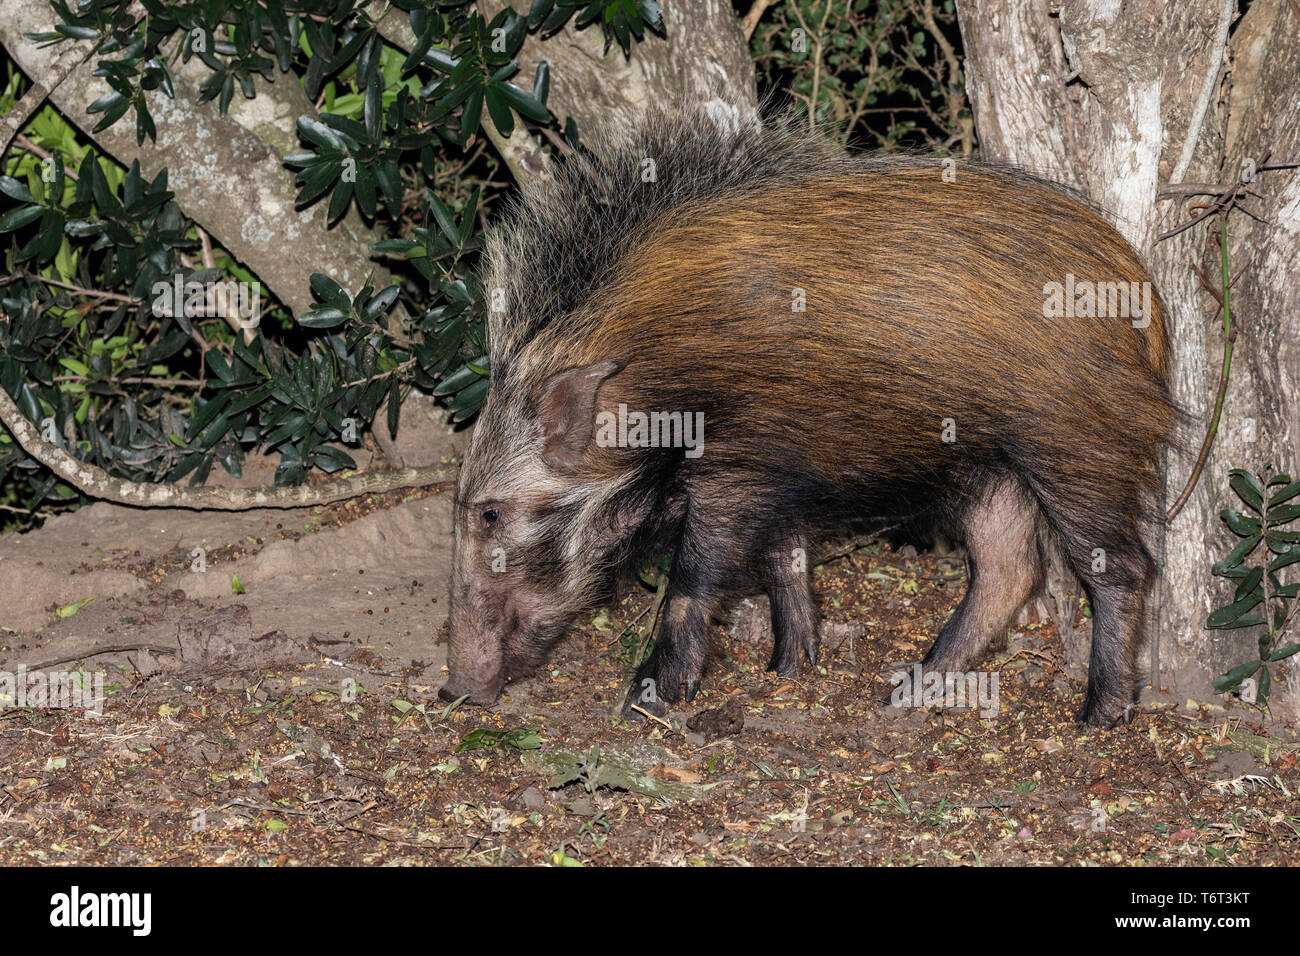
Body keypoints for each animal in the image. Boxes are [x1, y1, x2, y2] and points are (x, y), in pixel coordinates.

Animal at [440, 111, 1175, 728]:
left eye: (490, 513)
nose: (456, 690)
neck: (653, 381)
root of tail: (1148, 309)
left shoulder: (738, 468)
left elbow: (693, 579)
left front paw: (645, 703)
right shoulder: (778, 477)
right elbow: (783, 560)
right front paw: (787, 669)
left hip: (1076, 443)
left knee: (1120, 565)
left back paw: (1098, 716)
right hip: (987, 464)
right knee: (1008, 565)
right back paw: (904, 694)